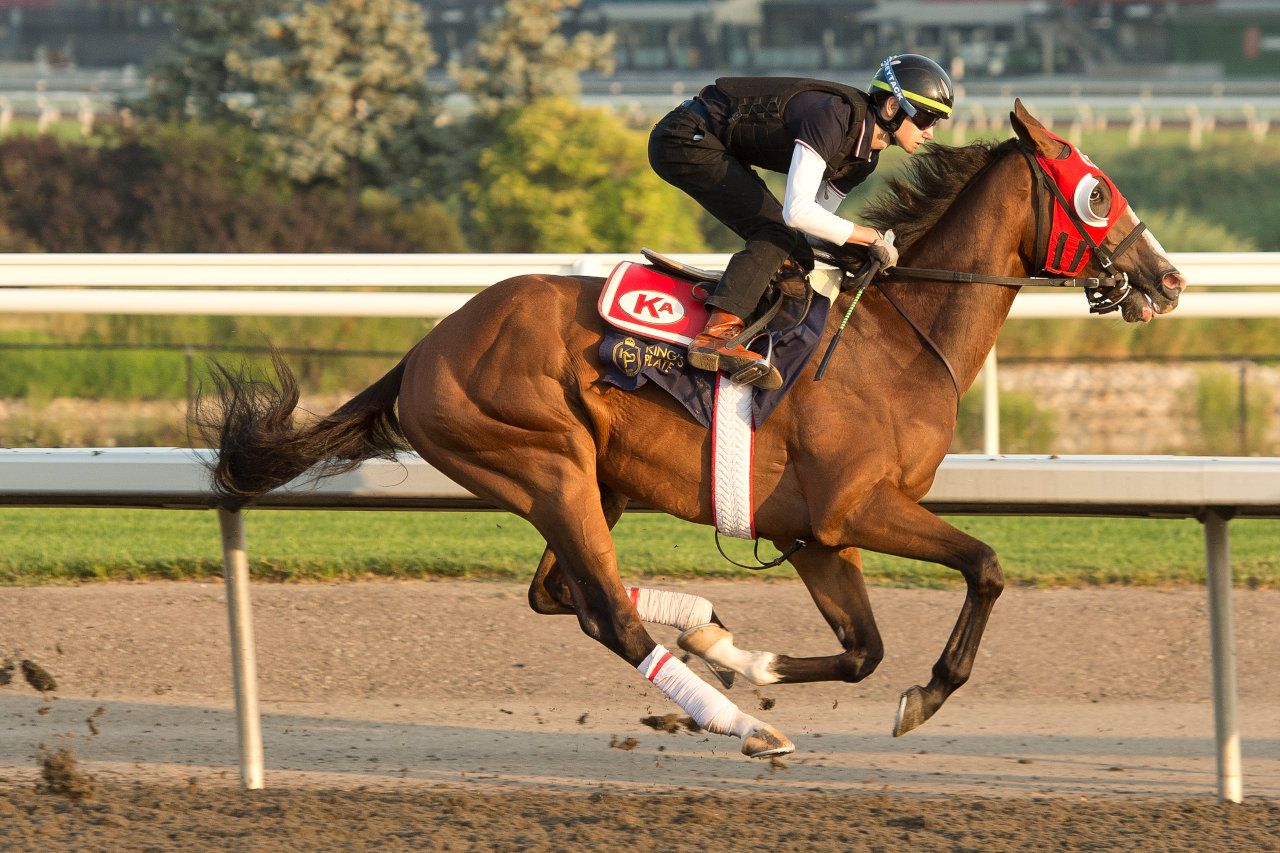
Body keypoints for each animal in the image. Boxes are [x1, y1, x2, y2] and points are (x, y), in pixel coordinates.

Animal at [199, 100, 1185, 759]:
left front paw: (738, 656)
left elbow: (861, 651)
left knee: (567, 594)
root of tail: (425, 347)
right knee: (604, 611)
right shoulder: (857, 510)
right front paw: (929, 694)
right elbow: (983, 566)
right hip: (546, 465)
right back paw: (737, 721)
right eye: (1098, 194)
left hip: (594, 482)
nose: (1168, 278)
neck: (899, 342)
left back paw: (707, 641)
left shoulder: (813, 532)